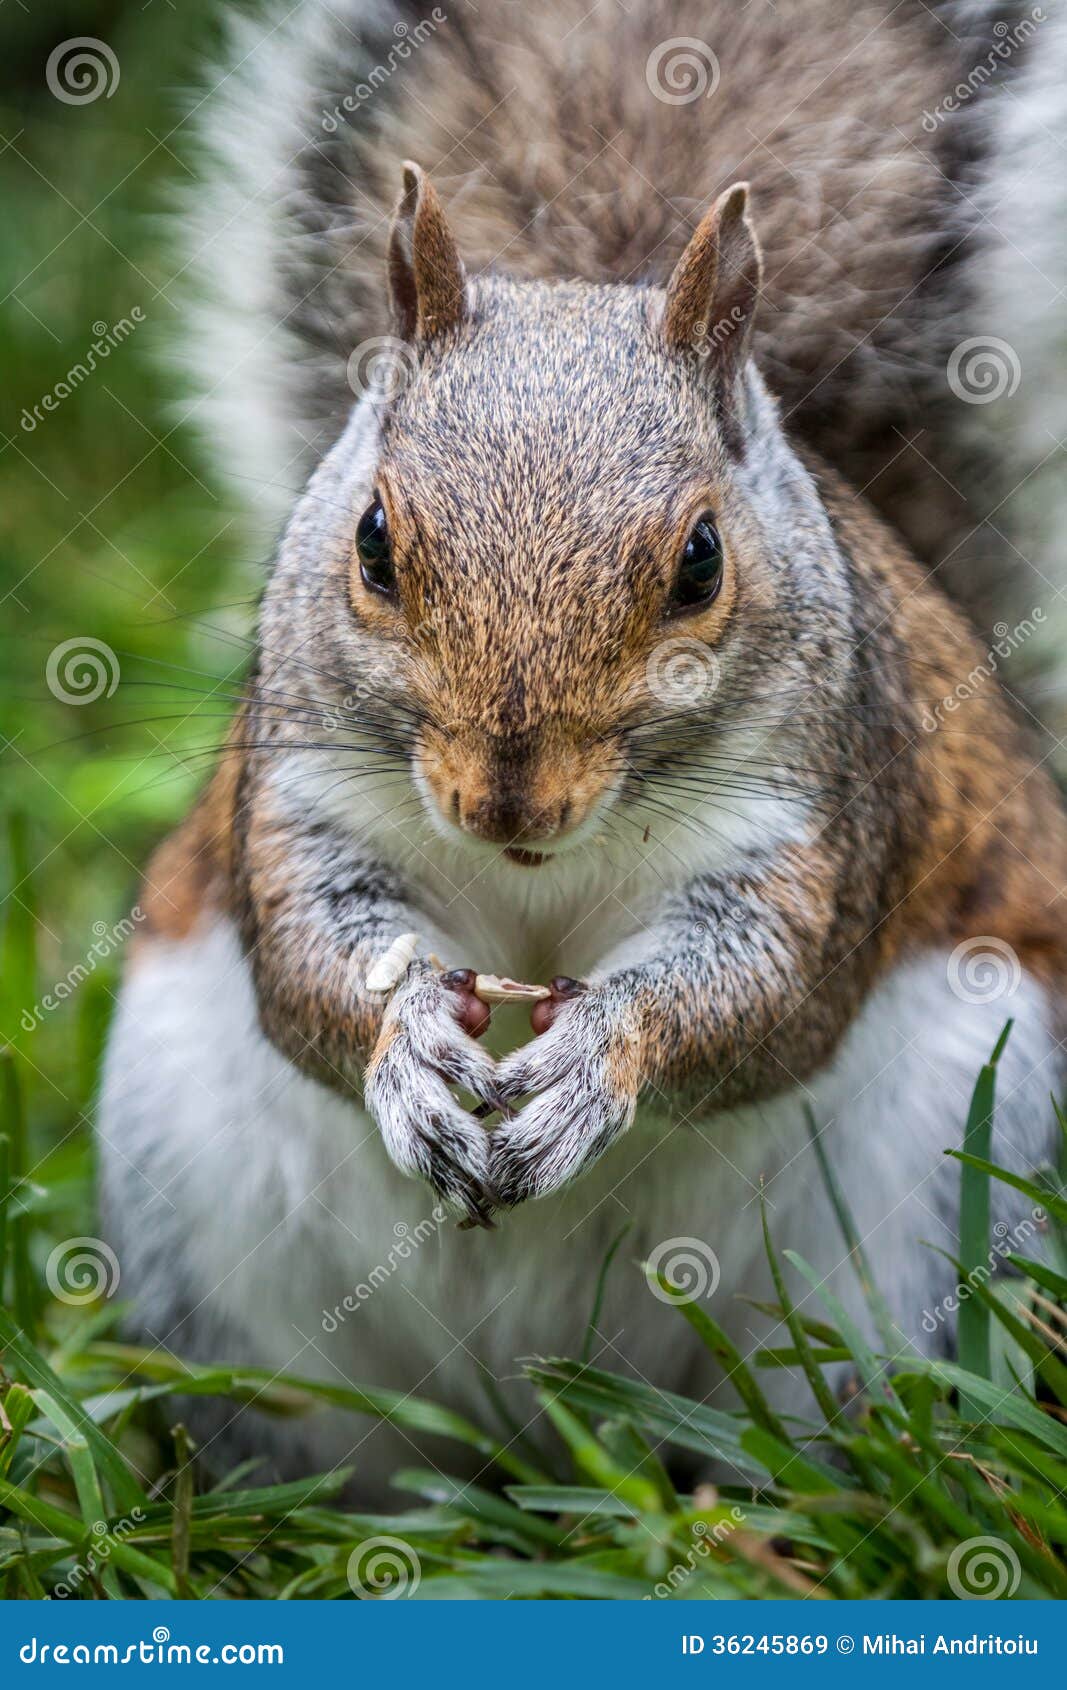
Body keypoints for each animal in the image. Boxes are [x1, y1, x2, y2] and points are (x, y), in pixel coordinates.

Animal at [100, 0, 1067, 1496]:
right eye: (371, 540)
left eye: (700, 561)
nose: (506, 801)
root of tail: (544, 1408)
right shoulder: (300, 799)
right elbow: (311, 974)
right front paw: (404, 1046)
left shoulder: (826, 816)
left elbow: (763, 1000)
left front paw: (596, 1056)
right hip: (195, 1207)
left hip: (928, 1209)